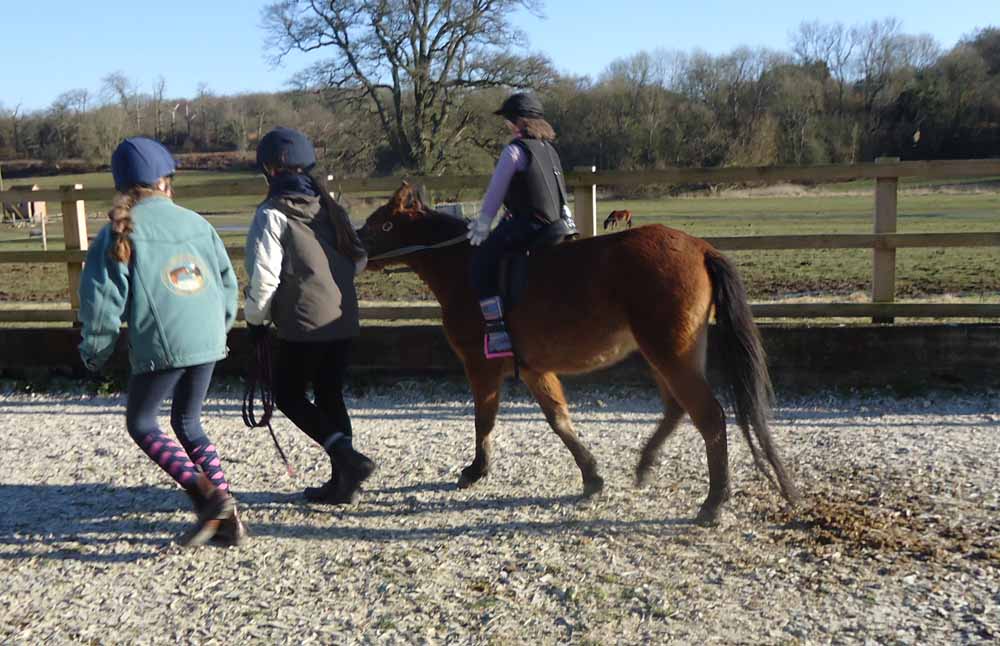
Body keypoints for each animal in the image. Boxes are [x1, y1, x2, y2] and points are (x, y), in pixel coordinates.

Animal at [358, 183, 799, 524]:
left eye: (383, 223)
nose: (356, 250)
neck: (462, 266)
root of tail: (701, 247)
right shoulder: (534, 369)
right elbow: (559, 420)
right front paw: (591, 476)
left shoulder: (480, 364)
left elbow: (484, 419)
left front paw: (476, 470)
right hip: (662, 353)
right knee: (676, 409)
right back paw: (645, 465)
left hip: (670, 353)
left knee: (709, 417)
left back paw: (713, 503)